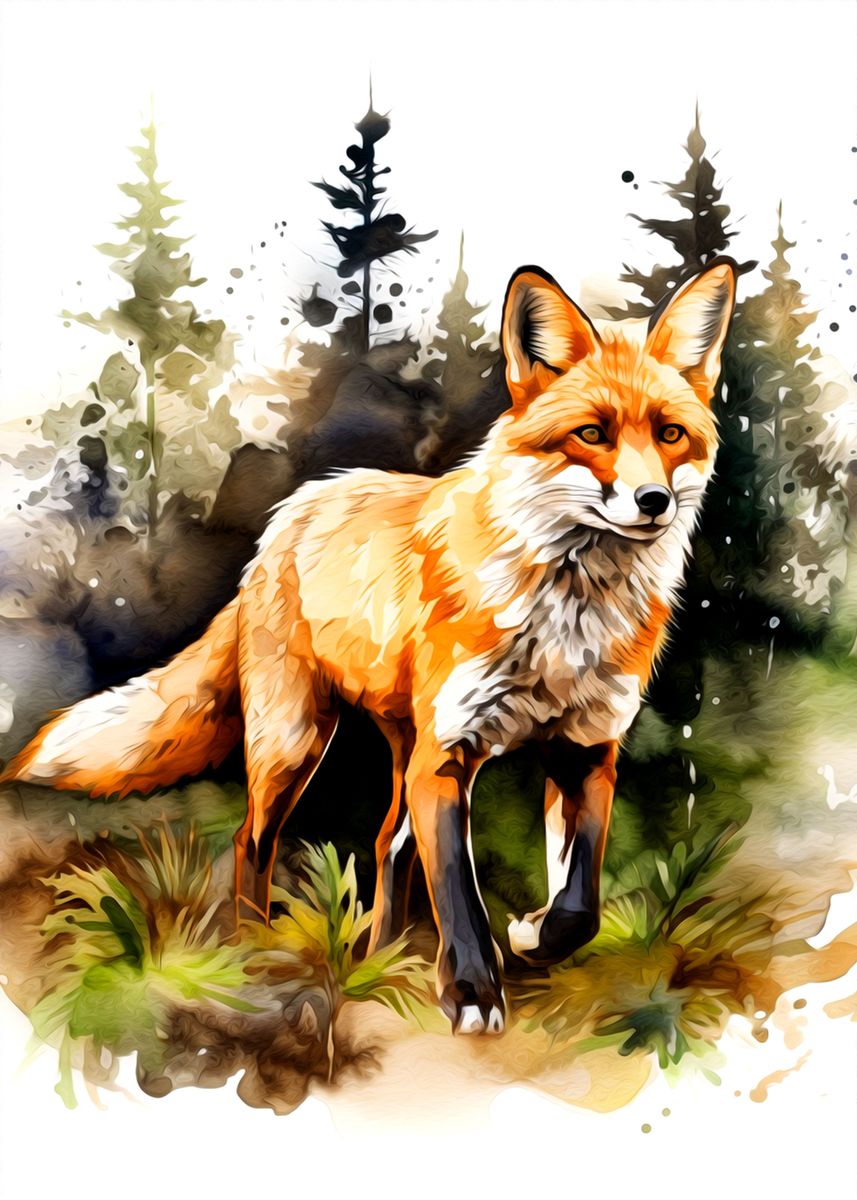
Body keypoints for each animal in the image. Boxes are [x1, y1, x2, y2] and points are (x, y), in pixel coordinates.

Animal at [2, 260, 735, 1035]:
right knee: (253, 839)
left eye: (670, 434)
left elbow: (579, 905)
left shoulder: (585, 750)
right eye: (591, 433)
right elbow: (459, 895)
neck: (564, 619)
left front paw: (531, 937)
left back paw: (381, 961)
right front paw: (472, 993)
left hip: (398, 752)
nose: (653, 501)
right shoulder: (448, 754)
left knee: (388, 845)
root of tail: (287, 518)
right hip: (297, 742)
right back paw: (255, 946)